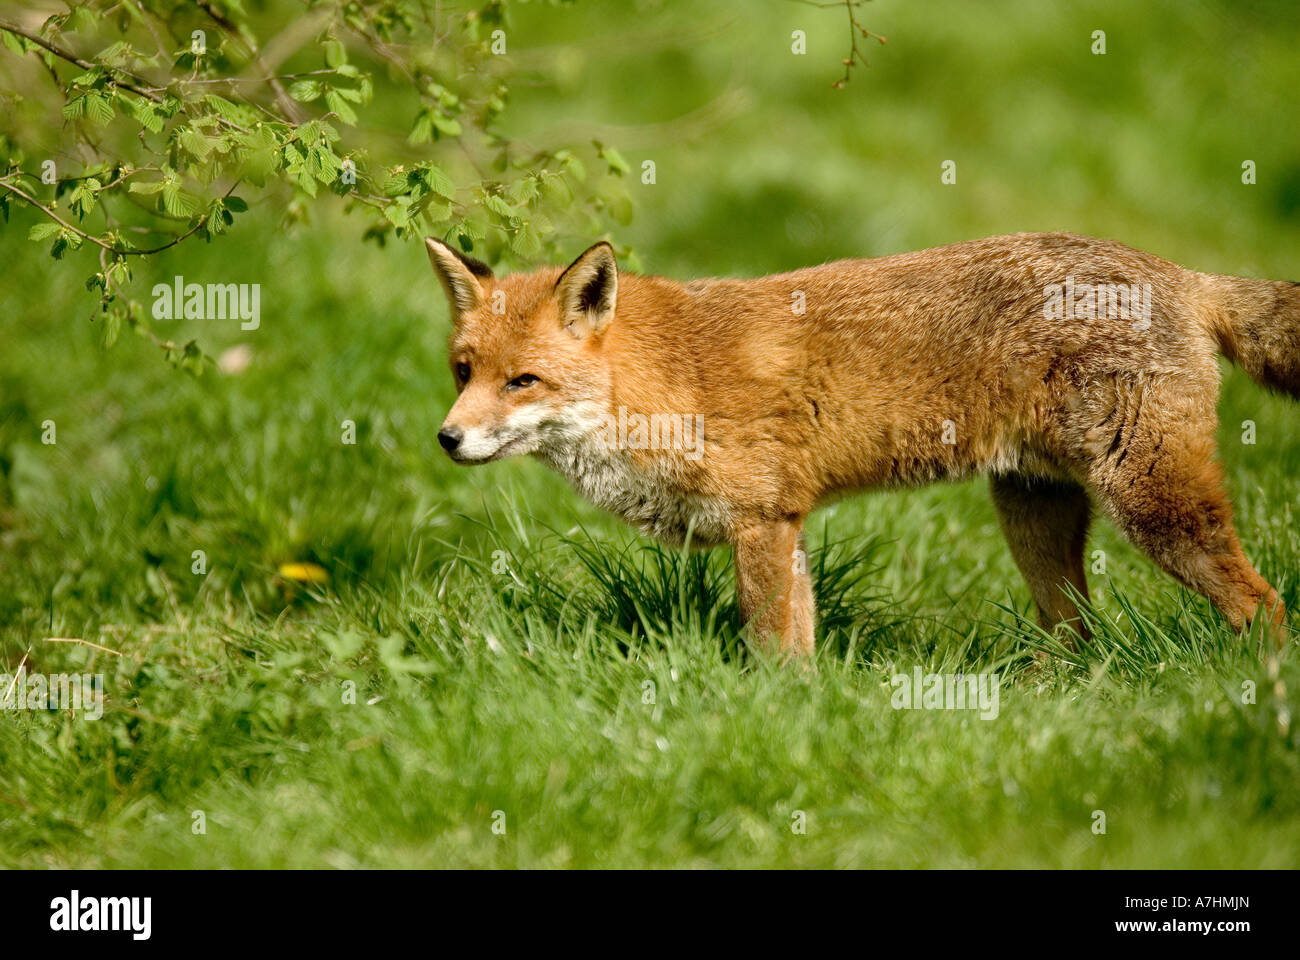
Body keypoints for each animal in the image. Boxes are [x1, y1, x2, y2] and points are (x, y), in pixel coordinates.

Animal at [424, 231, 1298, 658]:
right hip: (1033, 514)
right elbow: (802, 647)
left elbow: (771, 648)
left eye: (523, 381)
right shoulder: (785, 526)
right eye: (463, 371)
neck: (663, 382)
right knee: (1079, 632)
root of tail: (1181, 274)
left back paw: (1256, 696)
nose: (447, 438)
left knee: (1263, 603)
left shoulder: (761, 522)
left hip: (1152, 506)